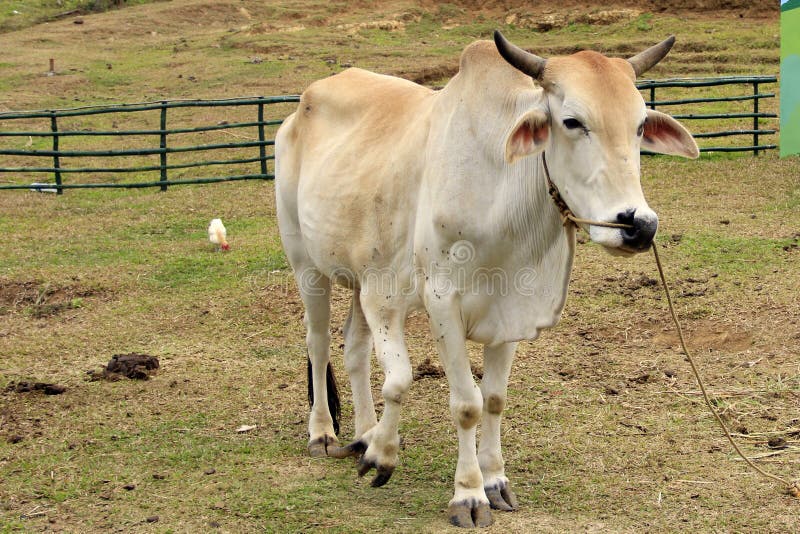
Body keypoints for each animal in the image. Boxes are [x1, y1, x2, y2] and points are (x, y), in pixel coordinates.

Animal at [274, 31, 699, 528]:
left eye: (639, 125)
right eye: (572, 121)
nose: (638, 225)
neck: (499, 192)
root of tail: (303, 105)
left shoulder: (511, 306)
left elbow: (493, 398)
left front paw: (494, 480)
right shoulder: (442, 305)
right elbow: (462, 402)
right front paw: (467, 494)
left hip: (367, 277)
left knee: (355, 349)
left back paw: (364, 434)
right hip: (306, 264)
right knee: (319, 342)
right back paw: (324, 433)